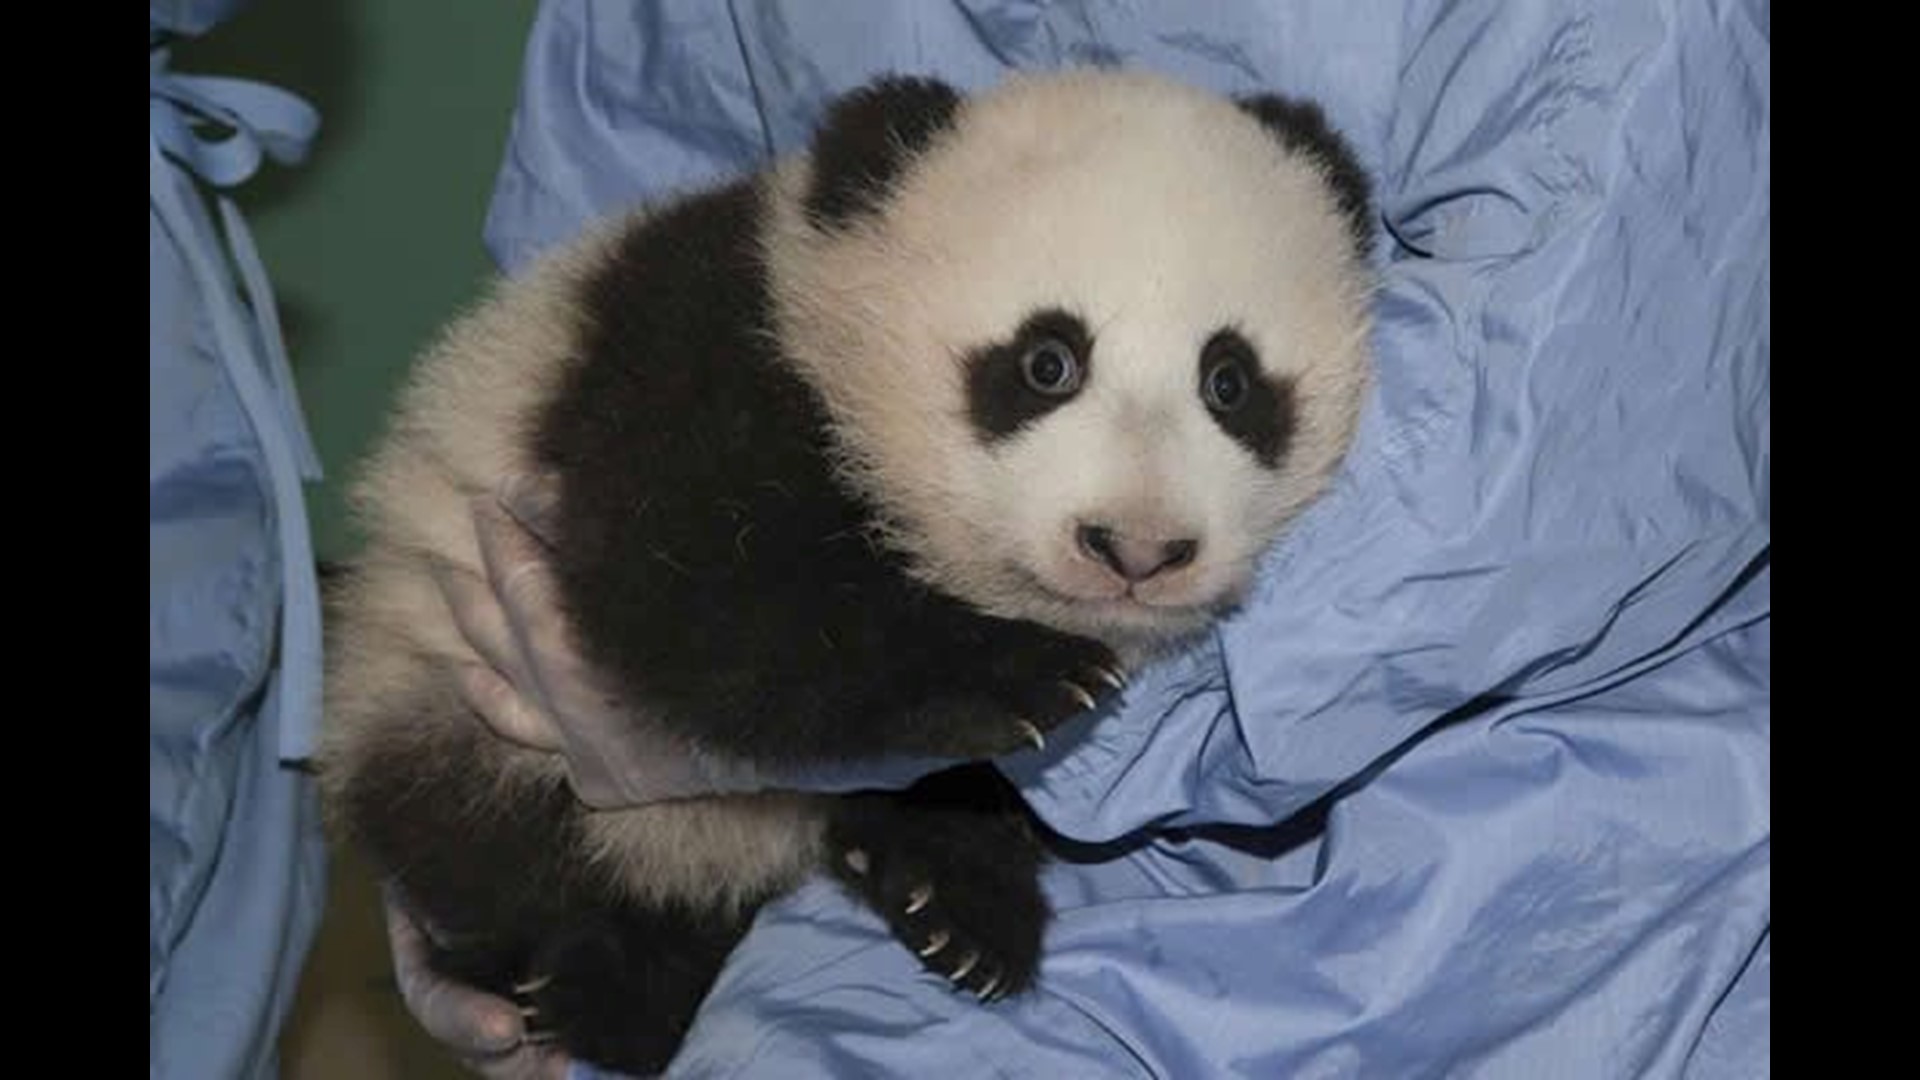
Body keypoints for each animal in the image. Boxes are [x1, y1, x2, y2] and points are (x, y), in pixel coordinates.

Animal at [318, 68, 1376, 1074]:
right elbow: (703, 604)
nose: (1139, 549)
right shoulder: (694, 366)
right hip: (435, 688)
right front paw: (1025, 676)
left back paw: (933, 899)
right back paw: (609, 985)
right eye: (1047, 362)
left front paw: (964, 874)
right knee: (492, 861)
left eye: (1230, 382)